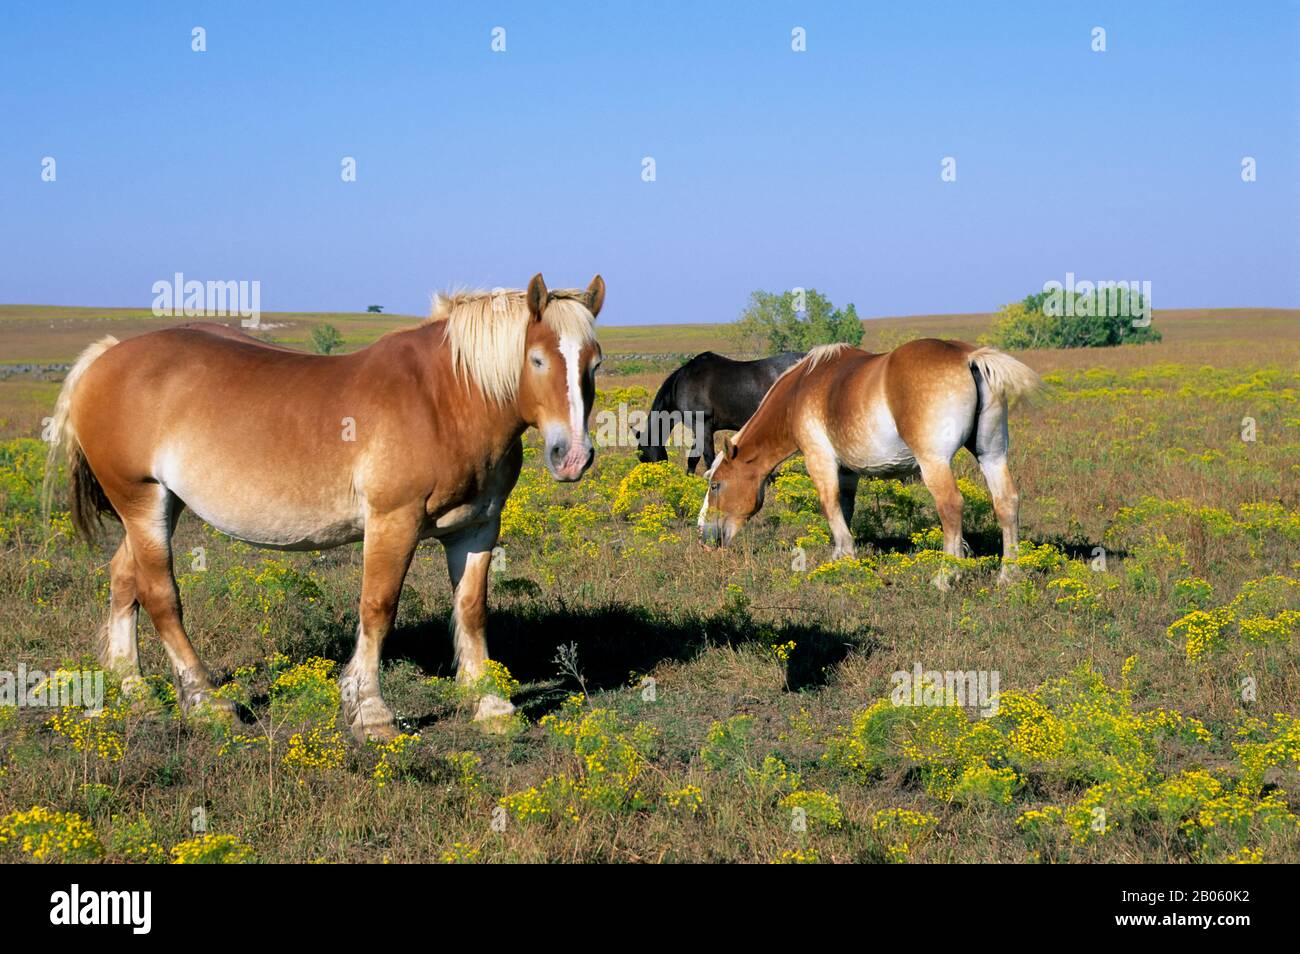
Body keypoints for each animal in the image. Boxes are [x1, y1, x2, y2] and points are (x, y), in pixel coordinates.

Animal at [44, 273, 605, 741]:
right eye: (537, 360)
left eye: (593, 364)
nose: (573, 456)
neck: (446, 399)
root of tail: (106, 357)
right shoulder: (393, 523)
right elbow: (378, 609)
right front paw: (370, 712)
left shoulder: (476, 529)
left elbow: (471, 611)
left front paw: (490, 705)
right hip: (143, 501)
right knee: (161, 595)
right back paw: (205, 702)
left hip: (162, 504)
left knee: (124, 579)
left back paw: (135, 691)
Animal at [637, 351, 804, 473]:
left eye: (644, 457)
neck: (682, 383)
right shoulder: (700, 429)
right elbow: (693, 459)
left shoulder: (702, 425)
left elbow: (707, 458)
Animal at [697, 339, 1040, 585]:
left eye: (716, 485)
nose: (703, 534)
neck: (800, 390)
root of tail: (968, 357)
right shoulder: (848, 470)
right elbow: (844, 507)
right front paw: (839, 553)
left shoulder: (819, 459)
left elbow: (829, 504)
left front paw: (846, 555)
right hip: (992, 456)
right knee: (1006, 503)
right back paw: (1009, 575)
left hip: (934, 464)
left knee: (952, 507)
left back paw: (946, 575)